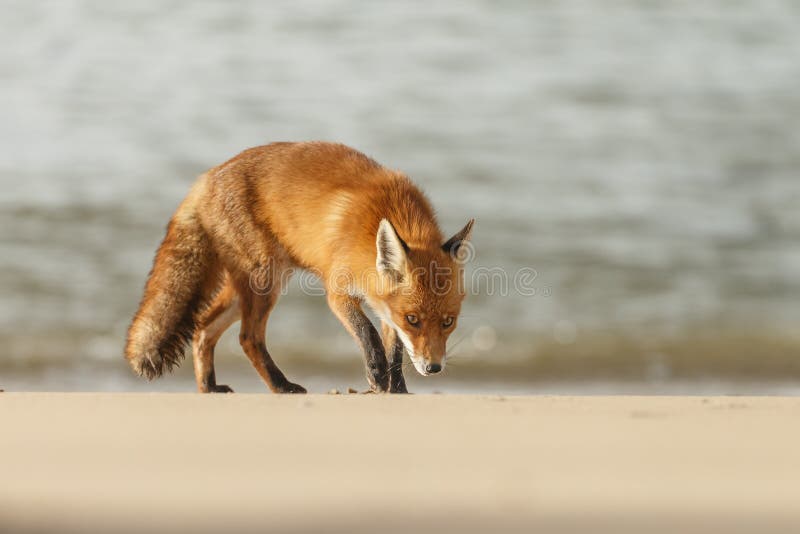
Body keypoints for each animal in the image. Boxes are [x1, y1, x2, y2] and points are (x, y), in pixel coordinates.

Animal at [125, 141, 474, 394]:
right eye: (414, 319)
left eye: (448, 322)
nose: (433, 368)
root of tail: (206, 178)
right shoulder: (339, 293)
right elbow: (368, 333)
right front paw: (376, 375)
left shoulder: (384, 306)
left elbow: (395, 352)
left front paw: (397, 390)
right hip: (265, 281)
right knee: (247, 338)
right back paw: (281, 386)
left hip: (252, 286)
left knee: (203, 327)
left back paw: (208, 387)